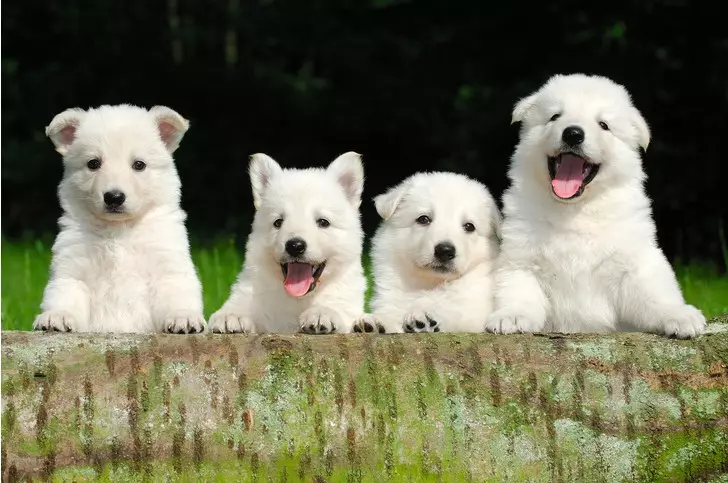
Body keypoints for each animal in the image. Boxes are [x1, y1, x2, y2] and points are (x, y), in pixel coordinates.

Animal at [33, 104, 205, 334]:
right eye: (93, 163)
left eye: (139, 164)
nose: (114, 197)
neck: (119, 230)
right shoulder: (72, 268)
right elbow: (64, 293)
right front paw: (57, 316)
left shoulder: (168, 266)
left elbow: (177, 293)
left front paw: (183, 317)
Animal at [209, 153, 370, 334]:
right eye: (278, 222)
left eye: (323, 222)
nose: (295, 246)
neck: (298, 299)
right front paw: (232, 315)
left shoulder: (346, 303)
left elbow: (337, 309)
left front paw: (321, 313)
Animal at [356, 172, 504, 334]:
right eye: (423, 219)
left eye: (469, 226)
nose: (445, 251)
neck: (429, 283)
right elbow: (390, 316)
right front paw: (373, 320)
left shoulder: (475, 305)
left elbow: (455, 311)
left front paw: (423, 316)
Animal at [486, 74, 708, 340]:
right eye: (555, 116)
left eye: (603, 125)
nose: (573, 134)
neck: (575, 210)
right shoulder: (521, 258)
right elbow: (518, 289)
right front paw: (511, 316)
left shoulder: (633, 261)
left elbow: (654, 293)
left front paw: (679, 315)